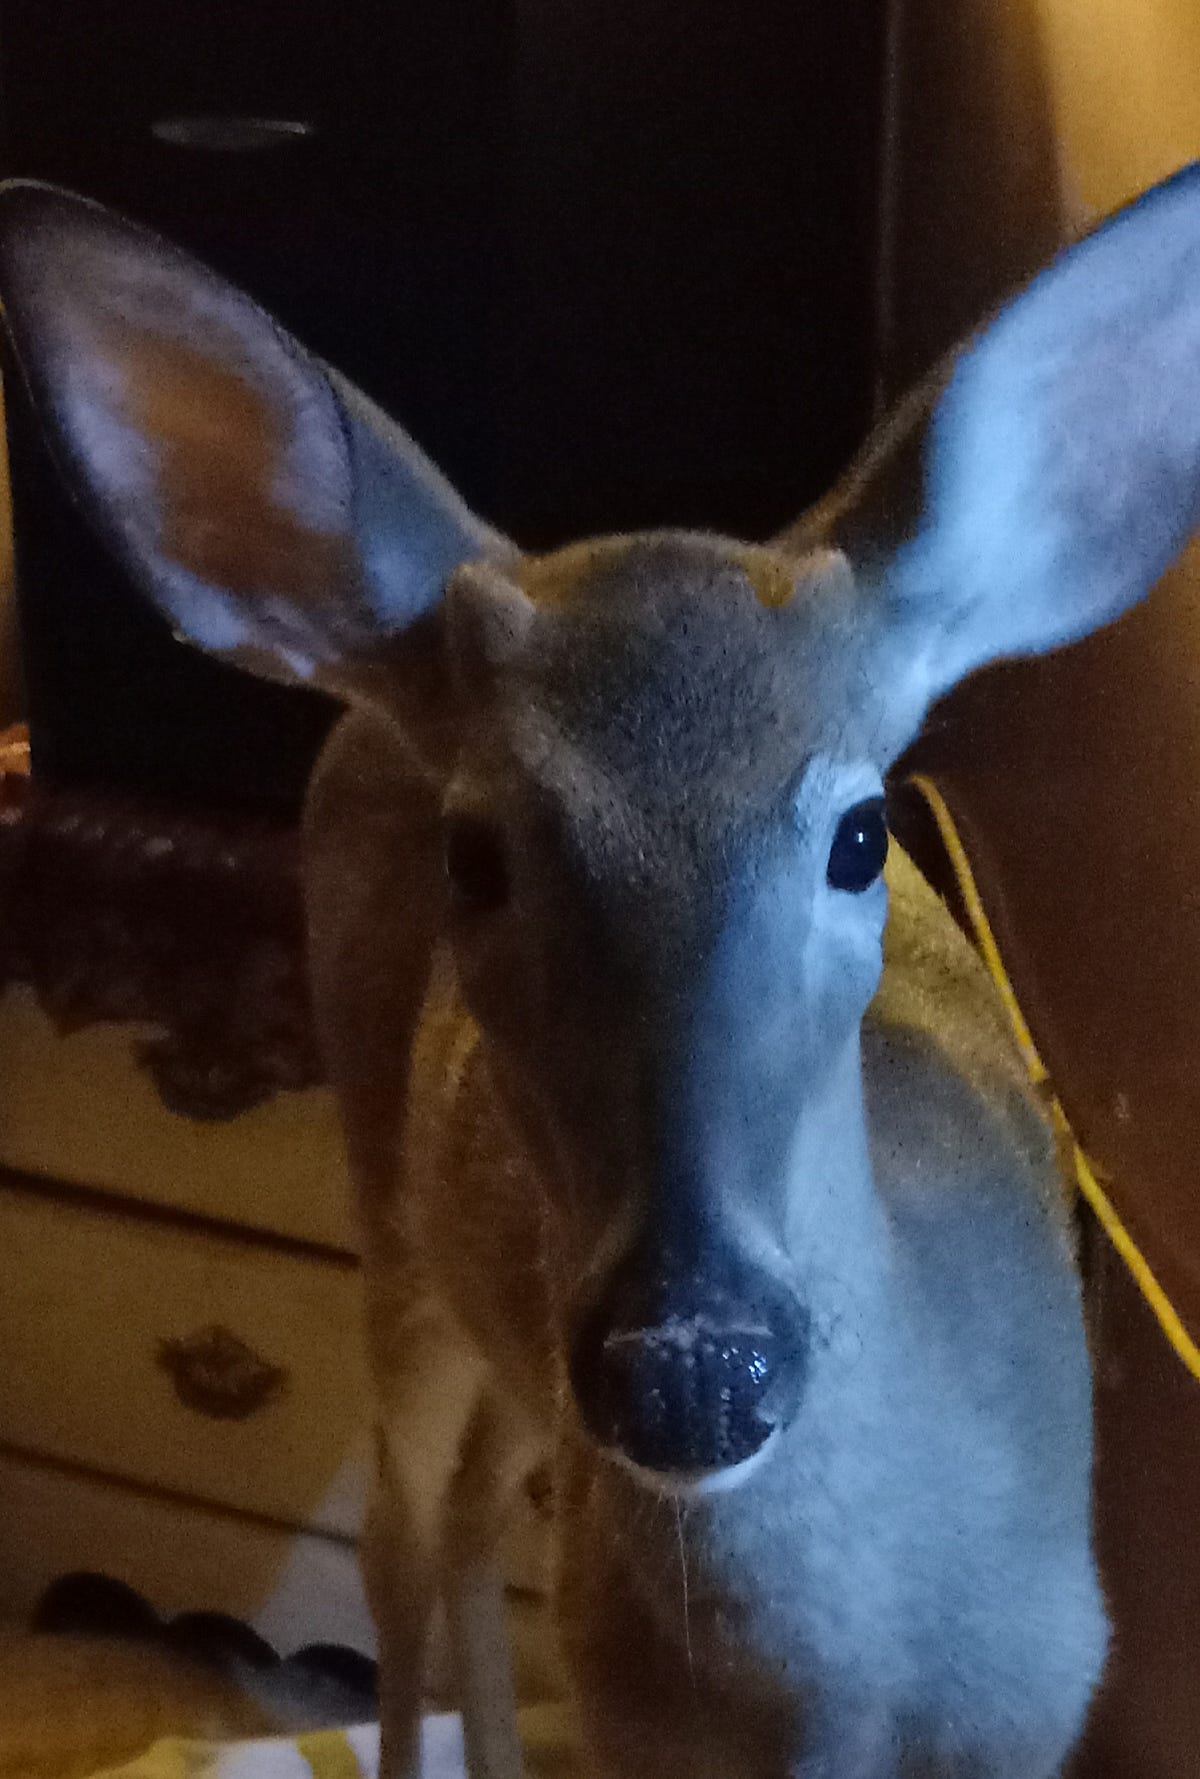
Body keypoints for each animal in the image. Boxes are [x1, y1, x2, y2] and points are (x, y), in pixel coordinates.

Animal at [2, 162, 1199, 1778]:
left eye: (865, 830)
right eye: (474, 854)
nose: (691, 1364)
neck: (844, 1697)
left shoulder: (1041, 1703)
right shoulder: (638, 1709)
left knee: (467, 1515)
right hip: (397, 1227)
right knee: (397, 1529)